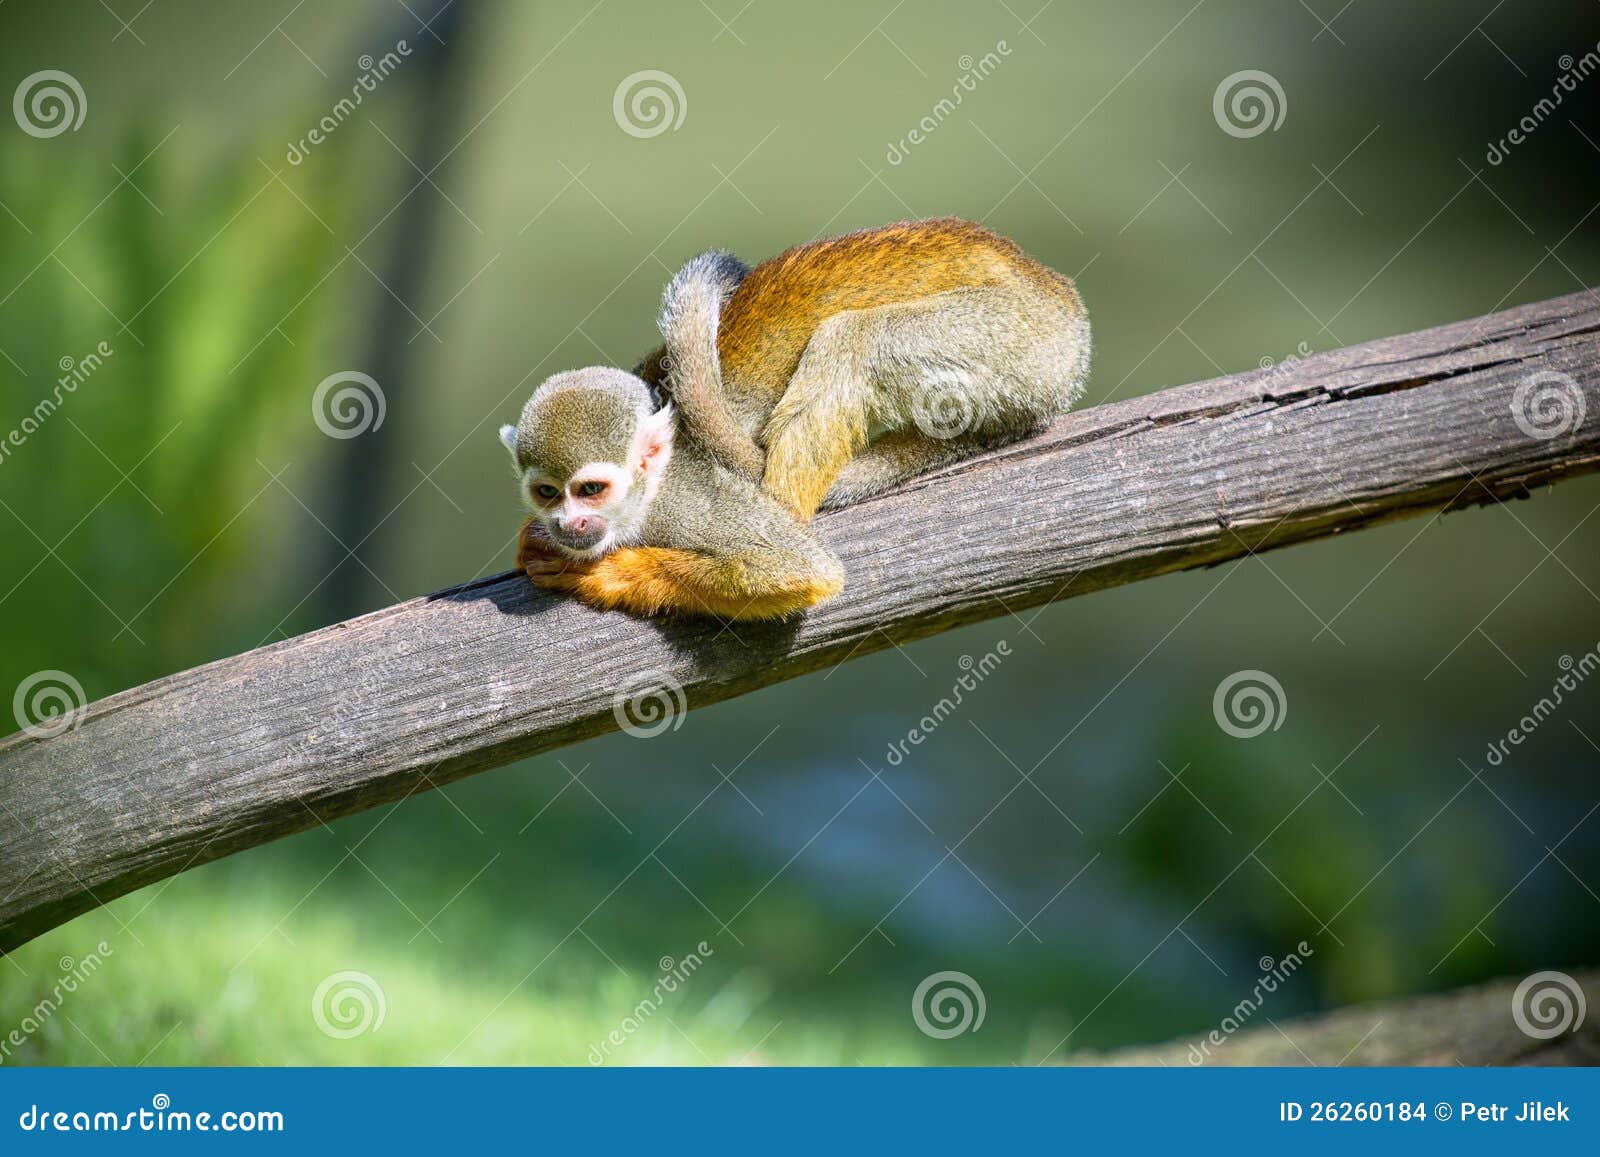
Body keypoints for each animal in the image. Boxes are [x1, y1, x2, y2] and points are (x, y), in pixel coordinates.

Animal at [502, 217, 1090, 620]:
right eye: (547, 493)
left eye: (591, 490)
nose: (568, 524)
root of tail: (1060, 301)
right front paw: (536, 538)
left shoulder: (686, 501)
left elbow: (797, 572)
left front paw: (610, 575)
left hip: (1012, 334)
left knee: (855, 340)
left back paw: (784, 495)